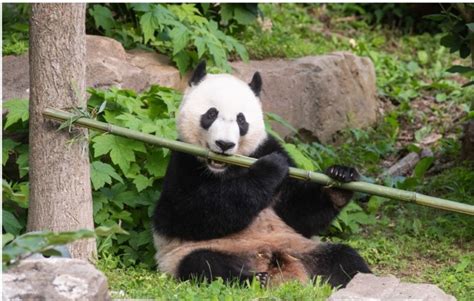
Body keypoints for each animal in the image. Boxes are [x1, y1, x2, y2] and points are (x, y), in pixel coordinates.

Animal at [152, 60, 370, 286]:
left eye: (241, 120)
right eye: (211, 114)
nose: (224, 144)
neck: (226, 168)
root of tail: (275, 264)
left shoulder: (265, 147)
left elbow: (299, 213)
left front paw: (341, 177)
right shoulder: (183, 161)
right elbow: (188, 214)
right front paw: (271, 168)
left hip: (301, 248)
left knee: (344, 258)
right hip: (191, 254)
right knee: (203, 264)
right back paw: (254, 278)